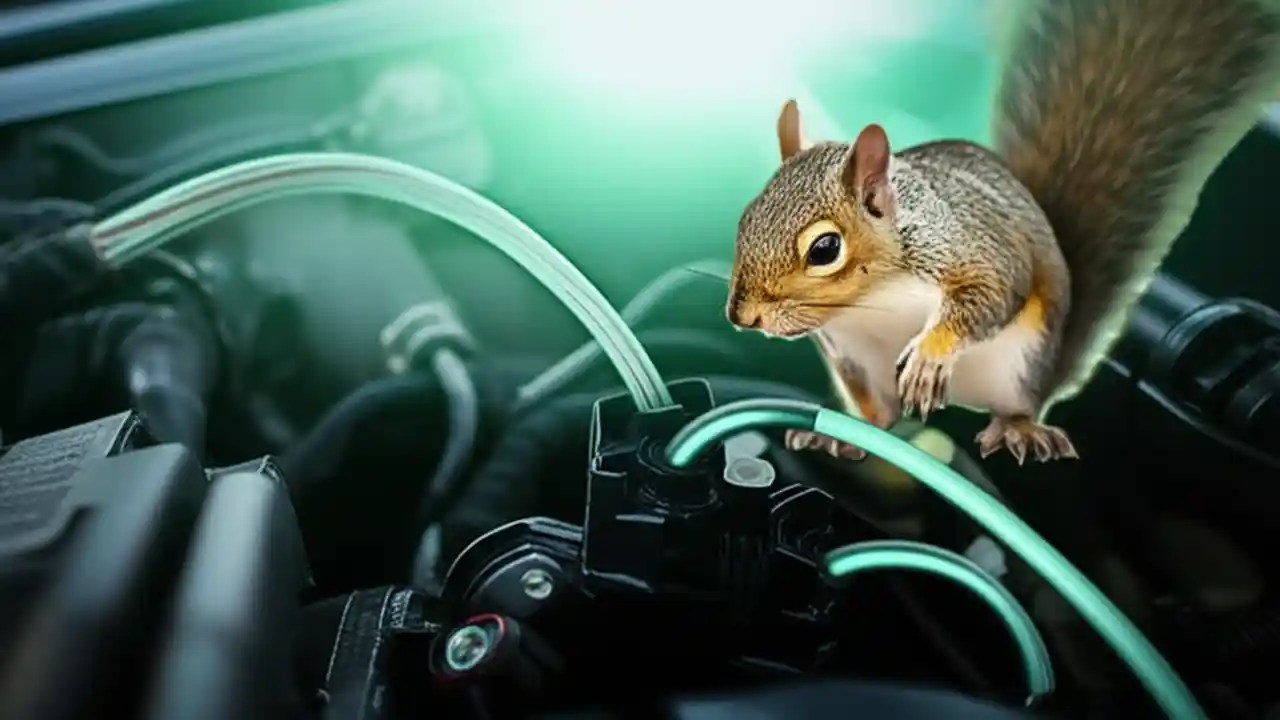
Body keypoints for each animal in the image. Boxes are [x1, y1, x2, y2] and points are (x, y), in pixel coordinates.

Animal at [725, 0, 1280, 464]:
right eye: (745, 218)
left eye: (825, 248)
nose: (742, 316)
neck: (869, 301)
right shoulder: (846, 345)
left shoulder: (971, 249)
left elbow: (991, 293)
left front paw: (930, 354)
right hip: (865, 370)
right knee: (880, 416)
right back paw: (840, 436)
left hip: (1021, 364)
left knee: (1016, 406)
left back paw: (1018, 429)